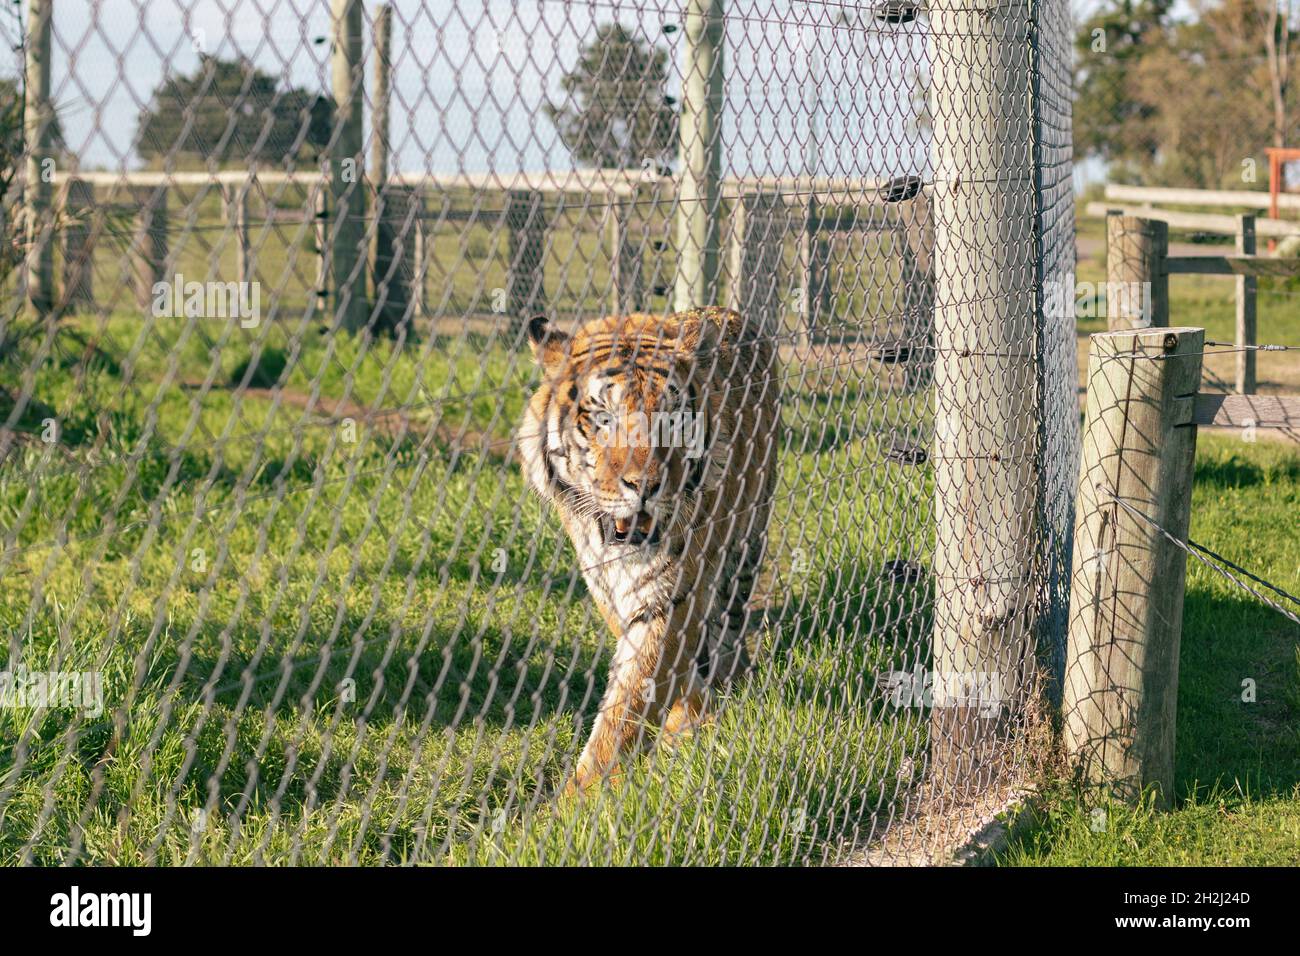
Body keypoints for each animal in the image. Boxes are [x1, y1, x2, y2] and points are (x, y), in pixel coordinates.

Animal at [519, 306, 781, 794]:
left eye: (672, 421)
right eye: (603, 418)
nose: (645, 486)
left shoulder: (674, 591)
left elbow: (632, 700)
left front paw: (581, 799)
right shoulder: (602, 583)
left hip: (747, 541)